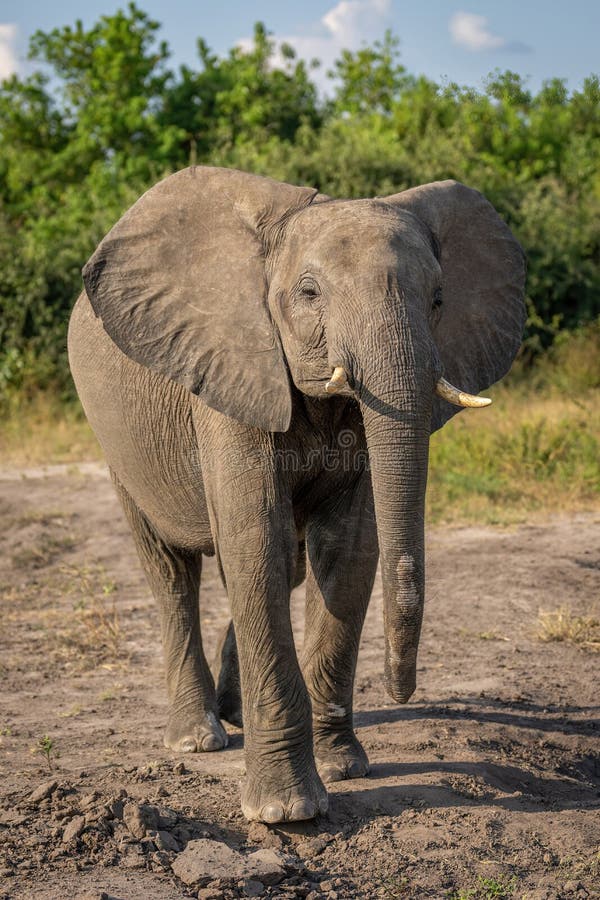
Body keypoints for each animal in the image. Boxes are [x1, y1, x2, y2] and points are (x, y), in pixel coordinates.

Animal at [68, 166, 526, 824]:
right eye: (309, 293)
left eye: (439, 300)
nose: (402, 688)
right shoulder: (231, 365)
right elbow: (256, 539)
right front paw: (288, 813)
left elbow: (348, 549)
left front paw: (342, 768)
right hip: (117, 443)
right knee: (173, 571)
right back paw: (198, 737)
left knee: (280, 566)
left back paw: (234, 714)